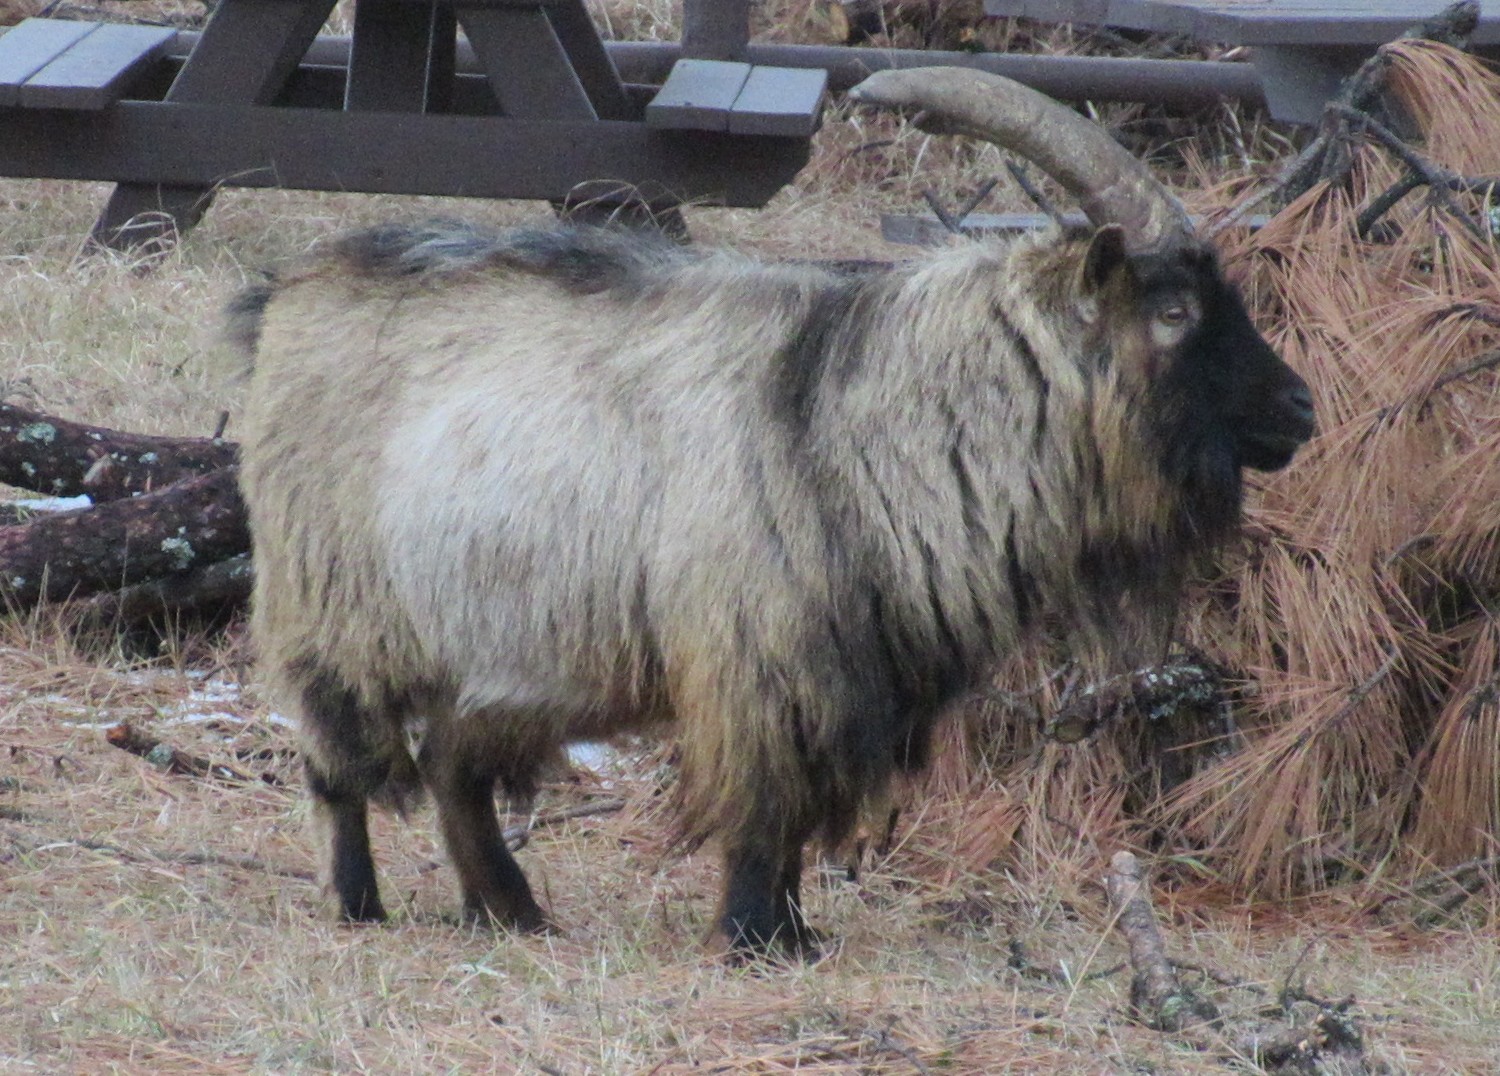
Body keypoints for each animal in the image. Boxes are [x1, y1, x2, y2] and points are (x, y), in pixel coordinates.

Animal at [231, 68, 1315, 956]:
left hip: (513, 650)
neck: (857, 416)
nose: (1300, 407)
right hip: (333, 606)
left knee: (453, 761)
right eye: (1172, 311)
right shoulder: (757, 656)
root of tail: (280, 299)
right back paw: (359, 903)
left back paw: (511, 911)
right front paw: (757, 936)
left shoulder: (837, 671)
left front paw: (796, 932)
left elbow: (794, 815)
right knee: (334, 760)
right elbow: (763, 806)